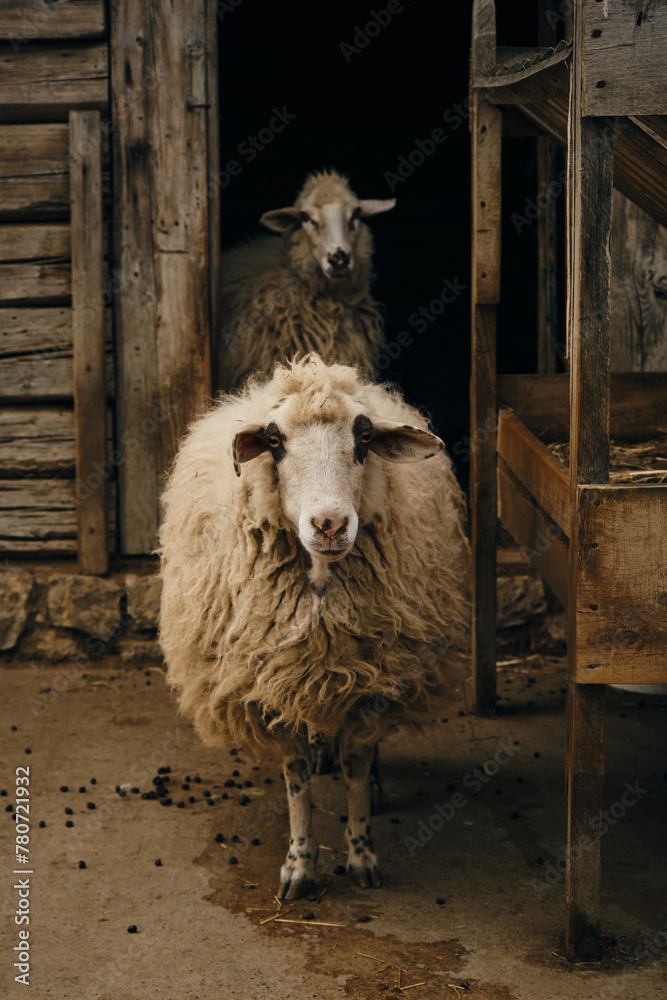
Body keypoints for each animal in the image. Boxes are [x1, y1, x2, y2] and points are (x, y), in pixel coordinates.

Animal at [159, 354, 469, 899]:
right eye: (274, 439)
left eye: (363, 436)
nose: (329, 524)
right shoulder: (276, 682)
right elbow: (297, 775)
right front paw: (299, 865)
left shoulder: (371, 684)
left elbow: (356, 765)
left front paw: (362, 855)